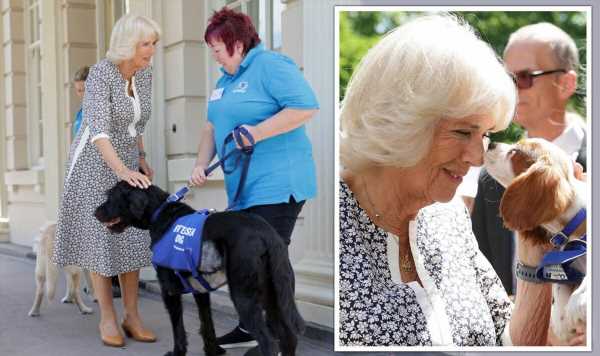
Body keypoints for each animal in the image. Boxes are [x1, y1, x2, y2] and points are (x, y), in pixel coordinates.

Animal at [96, 182, 308, 354]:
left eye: (111, 197)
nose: (94, 212)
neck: (161, 214)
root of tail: (267, 235)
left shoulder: (169, 290)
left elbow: (178, 328)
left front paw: (178, 352)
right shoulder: (200, 290)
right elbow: (207, 325)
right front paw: (213, 351)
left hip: (245, 296)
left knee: (269, 343)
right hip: (274, 295)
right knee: (288, 336)